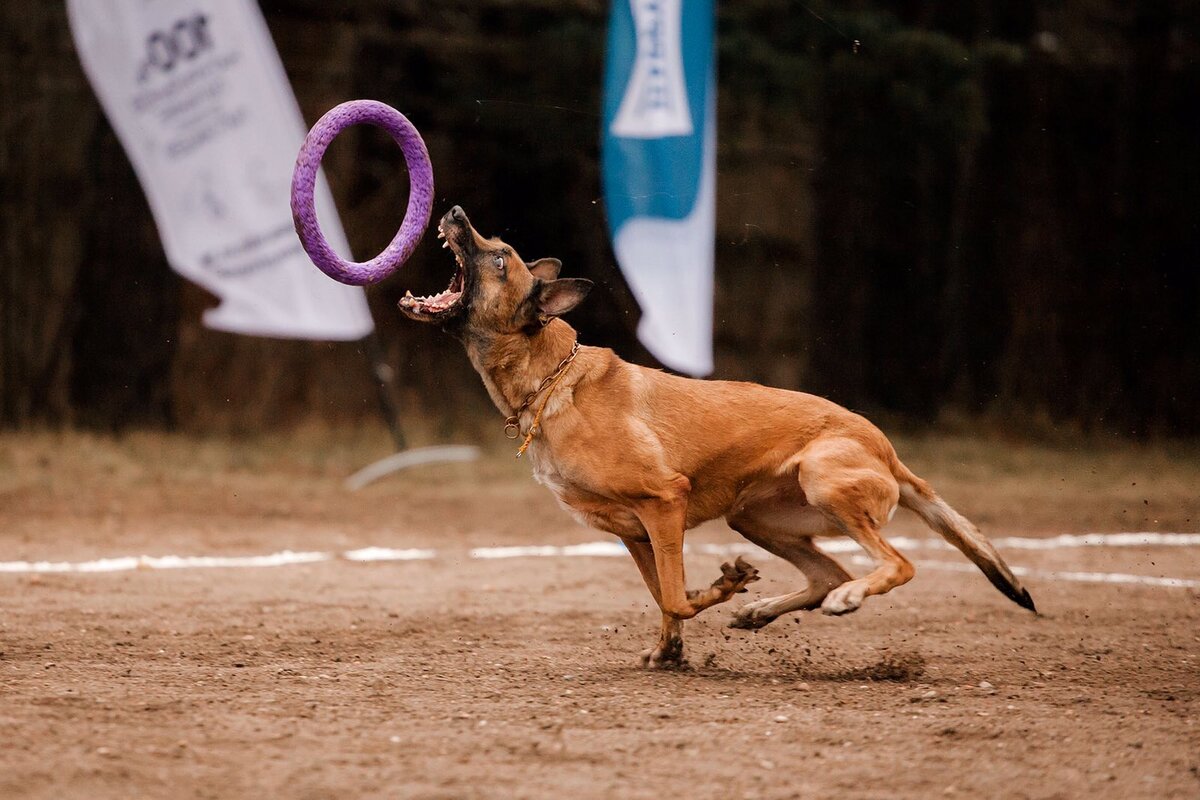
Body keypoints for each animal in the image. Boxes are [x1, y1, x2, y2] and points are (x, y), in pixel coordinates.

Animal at [398, 206, 1036, 671]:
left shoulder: (664, 502)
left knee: (894, 566)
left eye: (498, 257)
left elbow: (678, 595)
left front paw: (722, 590)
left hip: (821, 479)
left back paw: (833, 599)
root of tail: (889, 453)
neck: (550, 378)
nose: (453, 211)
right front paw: (670, 650)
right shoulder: (637, 532)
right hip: (753, 516)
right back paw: (766, 611)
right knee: (831, 572)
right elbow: (662, 597)